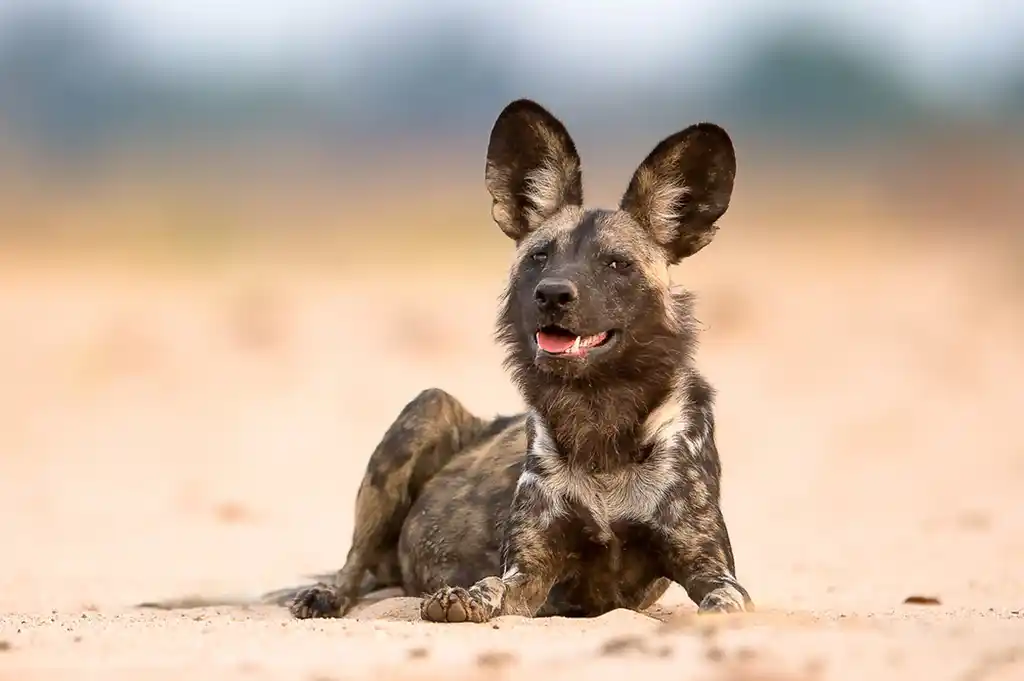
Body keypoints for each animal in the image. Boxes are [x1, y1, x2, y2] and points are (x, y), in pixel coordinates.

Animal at [139, 98, 753, 623]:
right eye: (540, 256)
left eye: (616, 263)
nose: (553, 294)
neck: (600, 425)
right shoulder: (529, 571)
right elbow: (492, 588)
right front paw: (461, 600)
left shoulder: (710, 569)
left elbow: (724, 603)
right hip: (422, 413)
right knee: (352, 567)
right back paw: (326, 596)